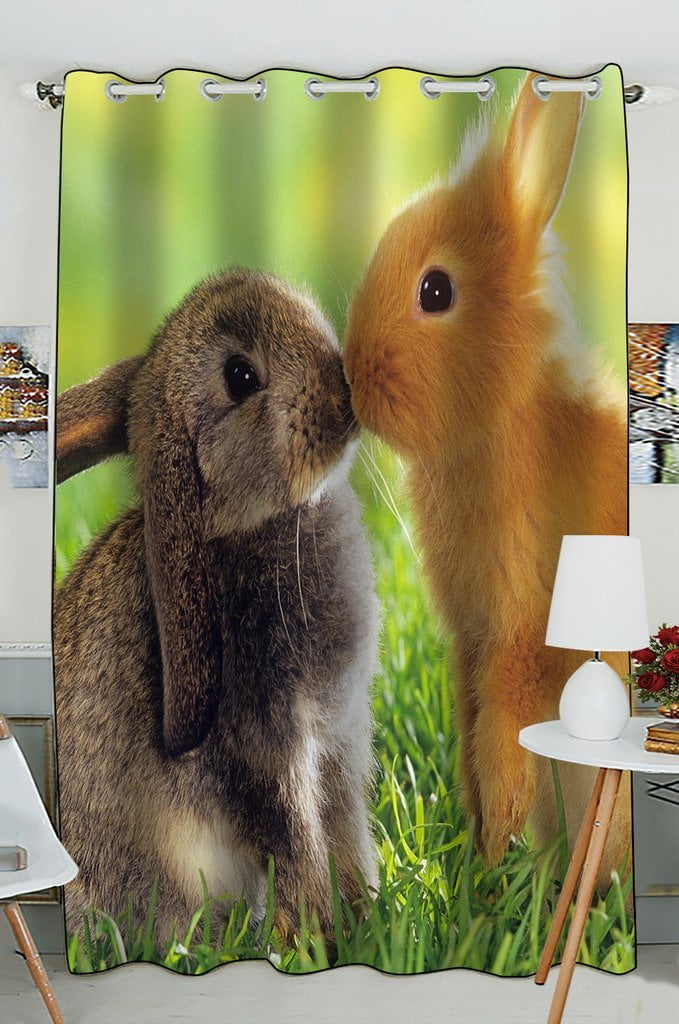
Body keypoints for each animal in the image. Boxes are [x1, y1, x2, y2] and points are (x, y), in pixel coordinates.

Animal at [54, 268, 380, 944]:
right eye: (241, 377)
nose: (344, 390)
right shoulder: (266, 743)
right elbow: (296, 838)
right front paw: (319, 931)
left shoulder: (339, 742)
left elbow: (346, 832)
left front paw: (365, 917)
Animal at [344, 72, 631, 881]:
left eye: (436, 291)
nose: (352, 380)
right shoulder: (468, 642)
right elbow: (471, 732)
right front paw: (479, 857)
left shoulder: (519, 636)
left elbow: (502, 734)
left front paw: (498, 841)